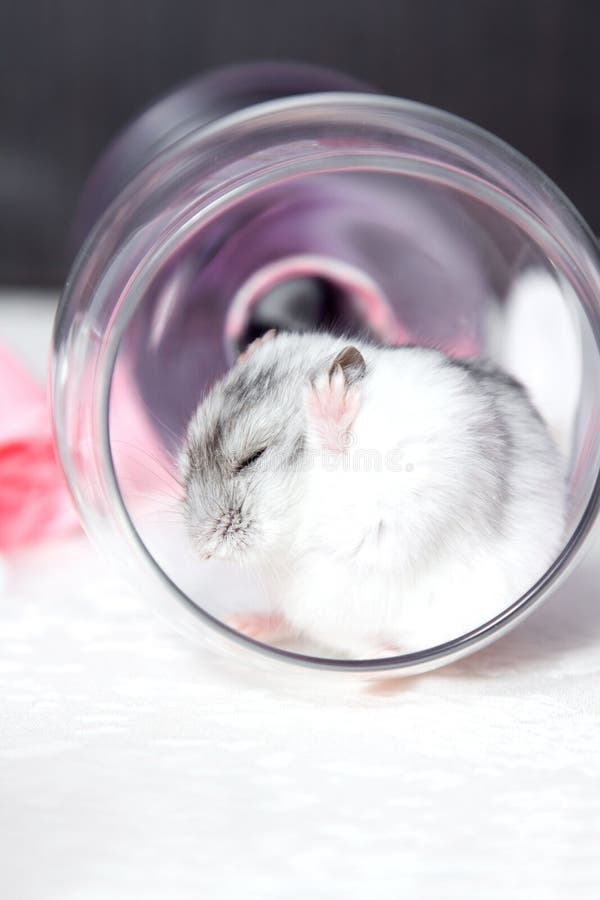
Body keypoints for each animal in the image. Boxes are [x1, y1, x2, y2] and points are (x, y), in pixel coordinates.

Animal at [180, 330, 567, 658]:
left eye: (253, 457)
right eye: (188, 462)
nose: (200, 552)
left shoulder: (386, 498)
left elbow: (340, 462)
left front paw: (330, 397)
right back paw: (244, 625)